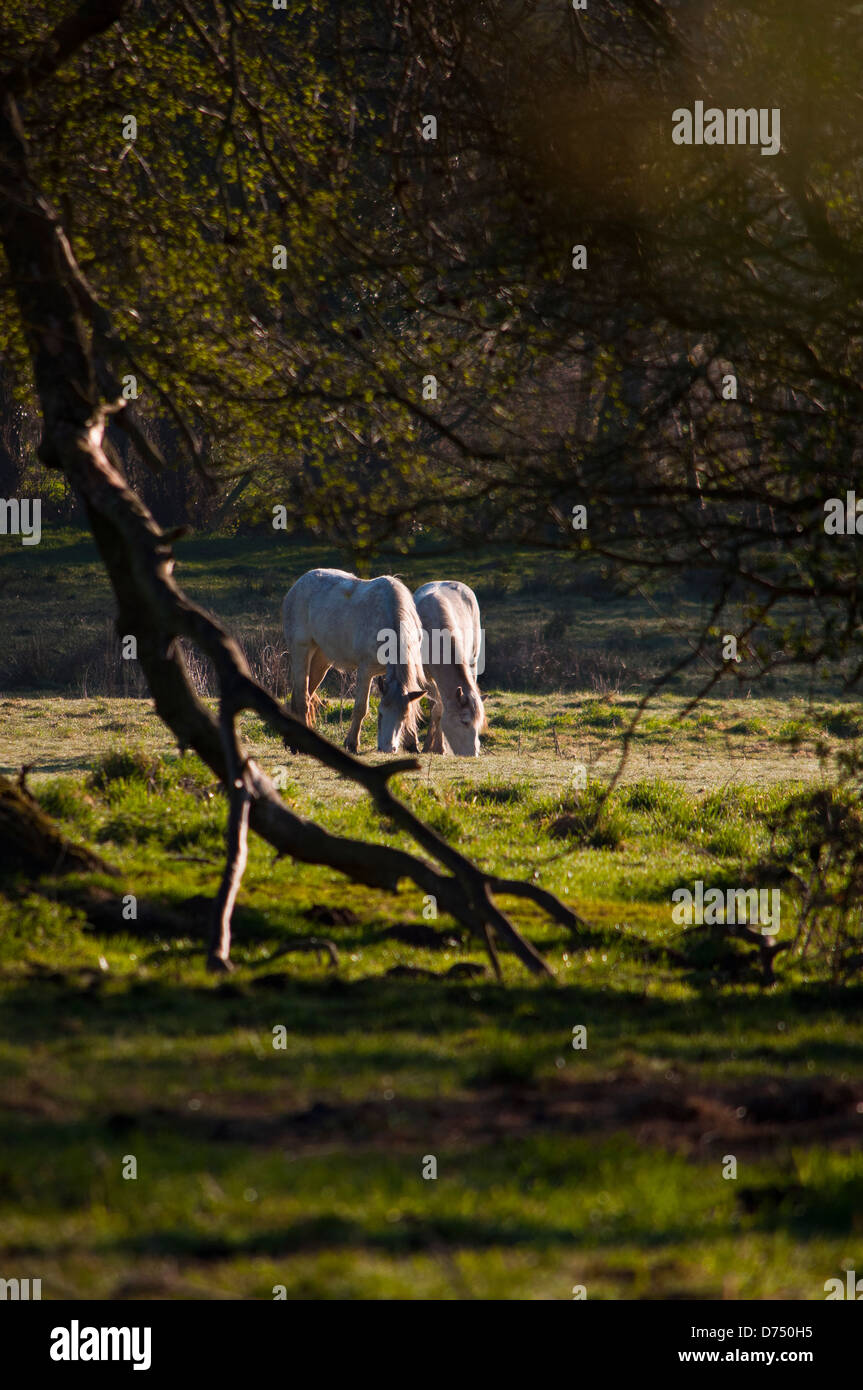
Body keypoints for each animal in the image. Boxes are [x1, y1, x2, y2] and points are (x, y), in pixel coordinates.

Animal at [282, 568, 426, 754]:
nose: (388, 749)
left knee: (304, 693)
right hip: (302, 651)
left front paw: (412, 743)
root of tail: (298, 584)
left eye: (404, 716)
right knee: (302, 698)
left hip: (321, 659)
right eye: (380, 713)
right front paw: (351, 743)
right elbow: (361, 708)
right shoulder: (366, 671)